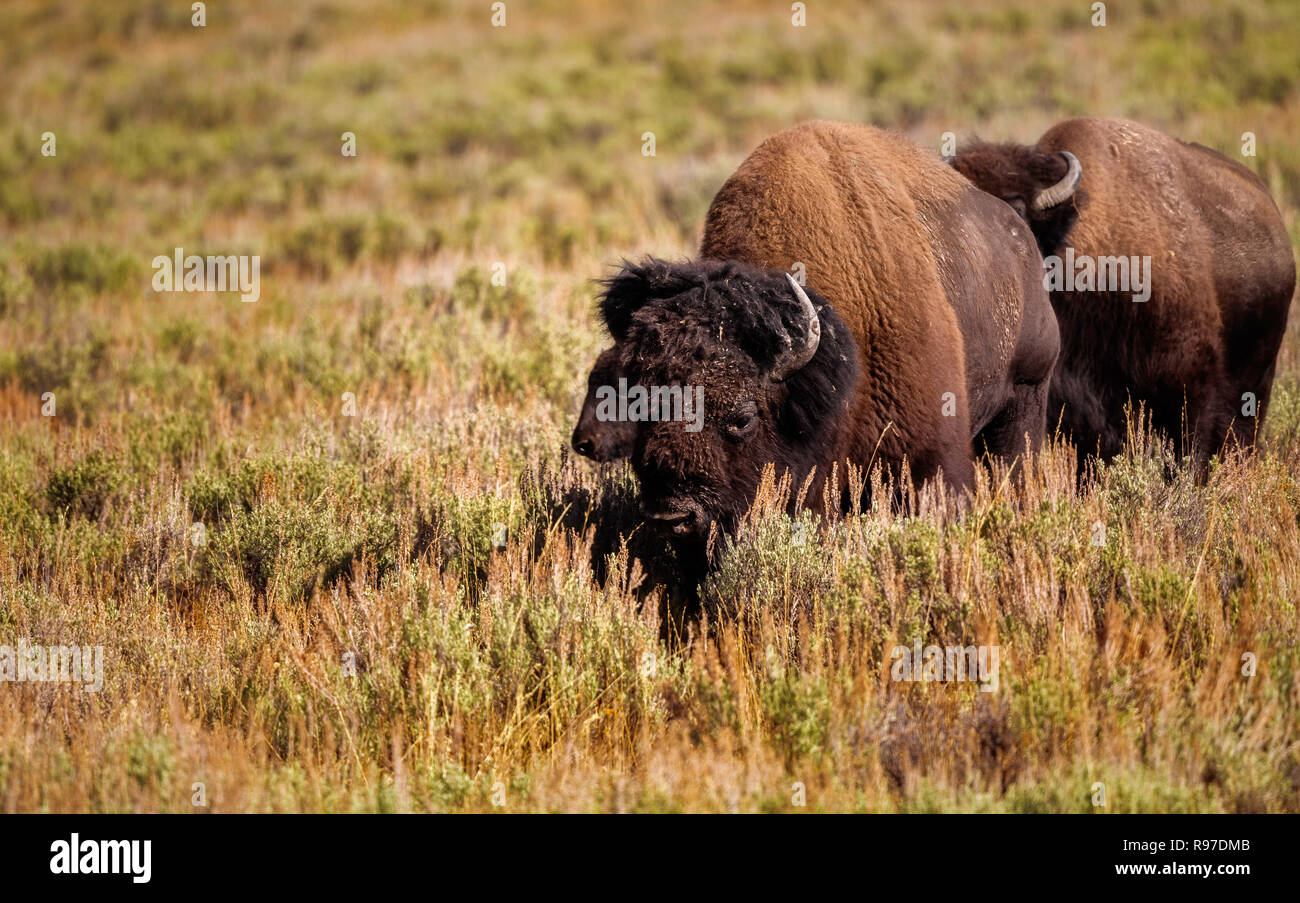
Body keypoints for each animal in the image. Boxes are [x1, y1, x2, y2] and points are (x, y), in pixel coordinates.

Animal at [585, 121, 1059, 558]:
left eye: (742, 418)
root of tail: (1021, 240)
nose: (673, 516)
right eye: (638, 407)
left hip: (1026, 398)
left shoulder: (930, 459)